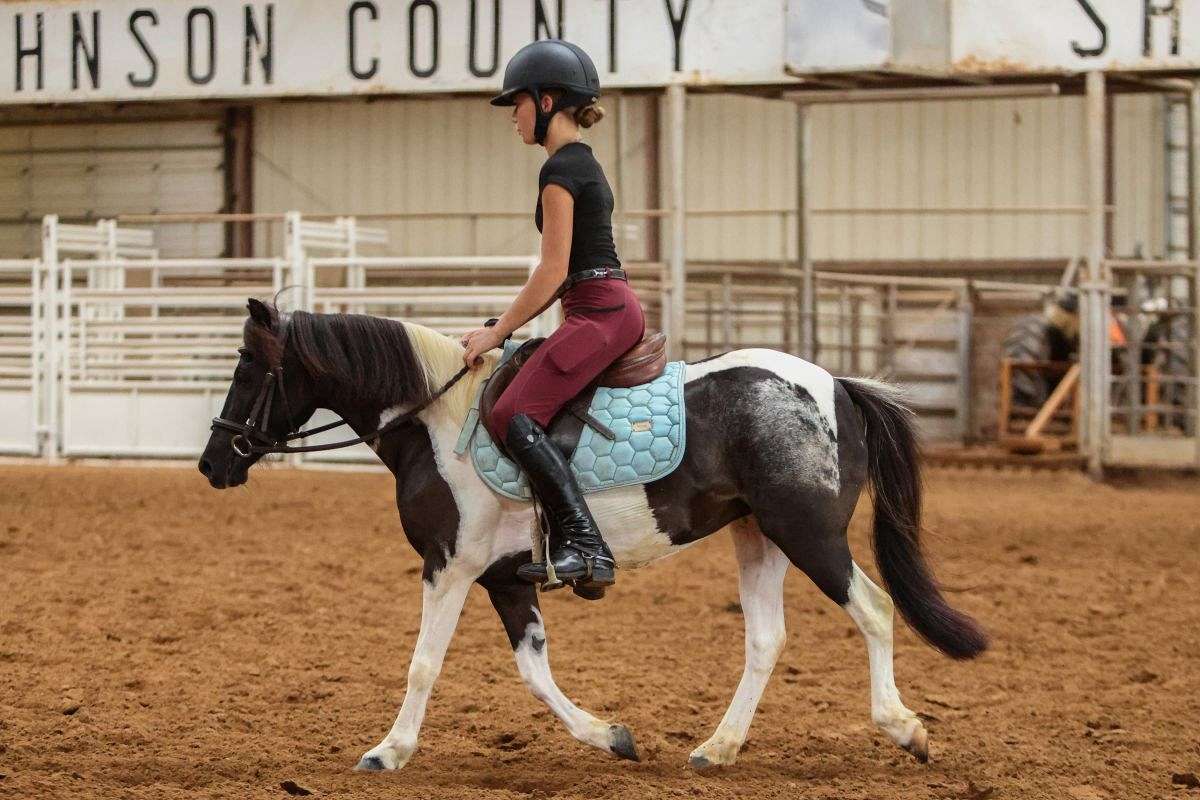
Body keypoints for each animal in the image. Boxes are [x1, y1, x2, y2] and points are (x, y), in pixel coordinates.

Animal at [198, 298, 987, 773]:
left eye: (249, 367)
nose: (211, 462)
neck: (437, 421)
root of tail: (836, 387)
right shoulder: (503, 577)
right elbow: (533, 672)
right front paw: (610, 736)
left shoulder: (450, 567)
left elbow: (423, 664)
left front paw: (389, 752)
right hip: (758, 538)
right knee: (766, 639)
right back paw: (718, 748)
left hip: (809, 533)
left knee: (875, 609)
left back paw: (904, 728)